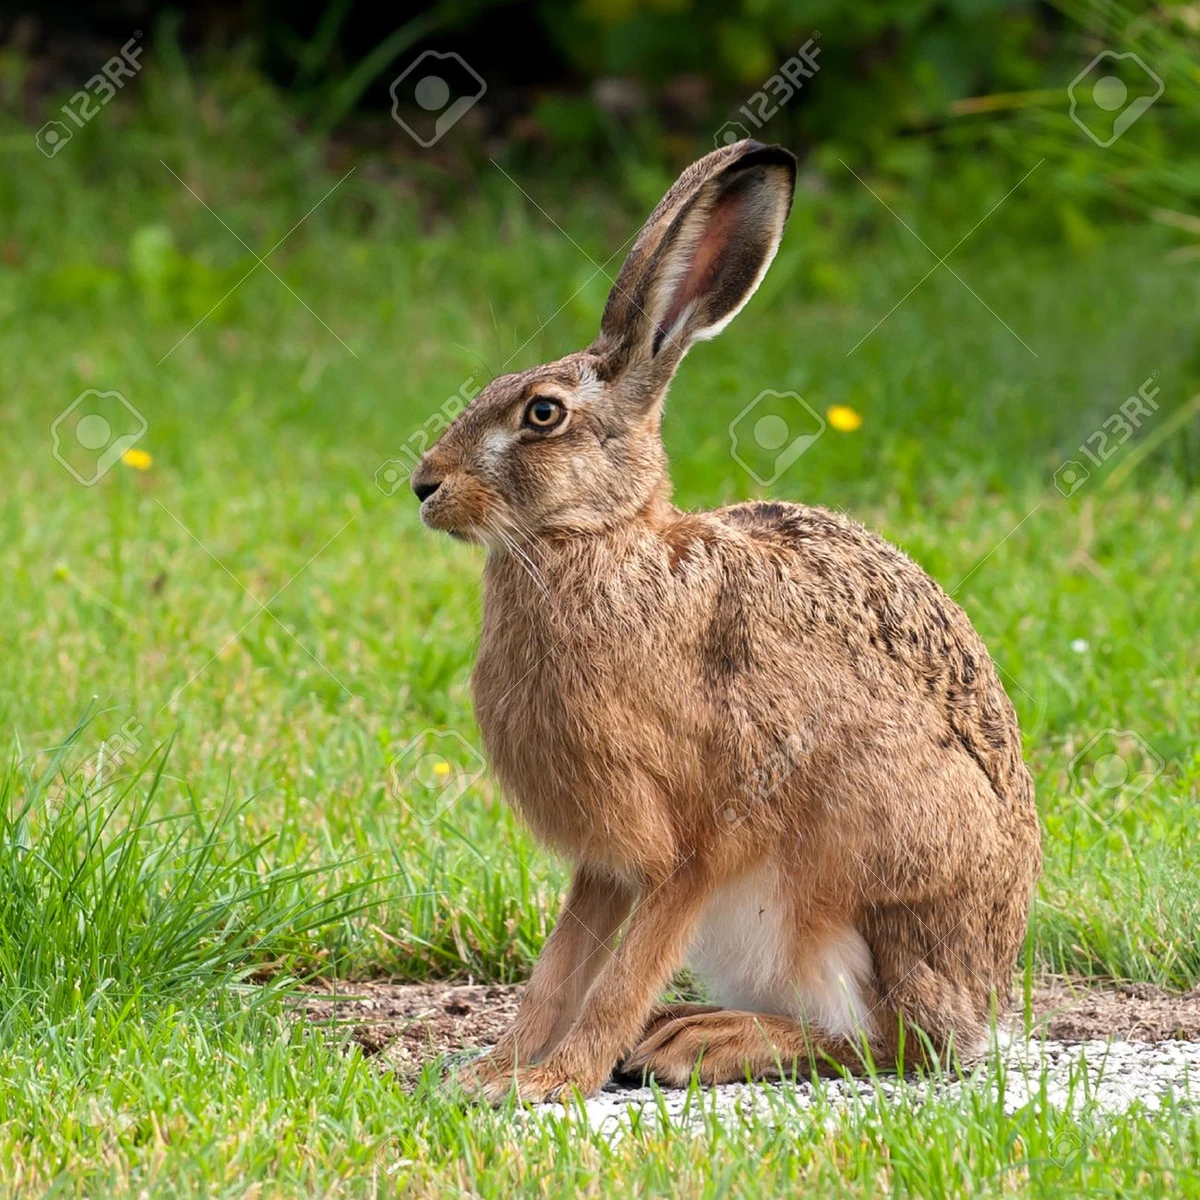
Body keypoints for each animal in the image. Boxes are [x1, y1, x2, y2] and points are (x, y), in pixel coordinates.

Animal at [409, 140, 1042, 1104]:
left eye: (542, 413)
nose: (424, 484)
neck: (600, 541)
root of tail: (985, 1005)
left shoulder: (702, 840)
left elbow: (621, 972)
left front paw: (551, 1083)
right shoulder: (607, 859)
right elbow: (562, 966)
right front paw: (493, 1073)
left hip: (870, 868)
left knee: (895, 1043)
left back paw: (710, 1042)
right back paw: (681, 1029)